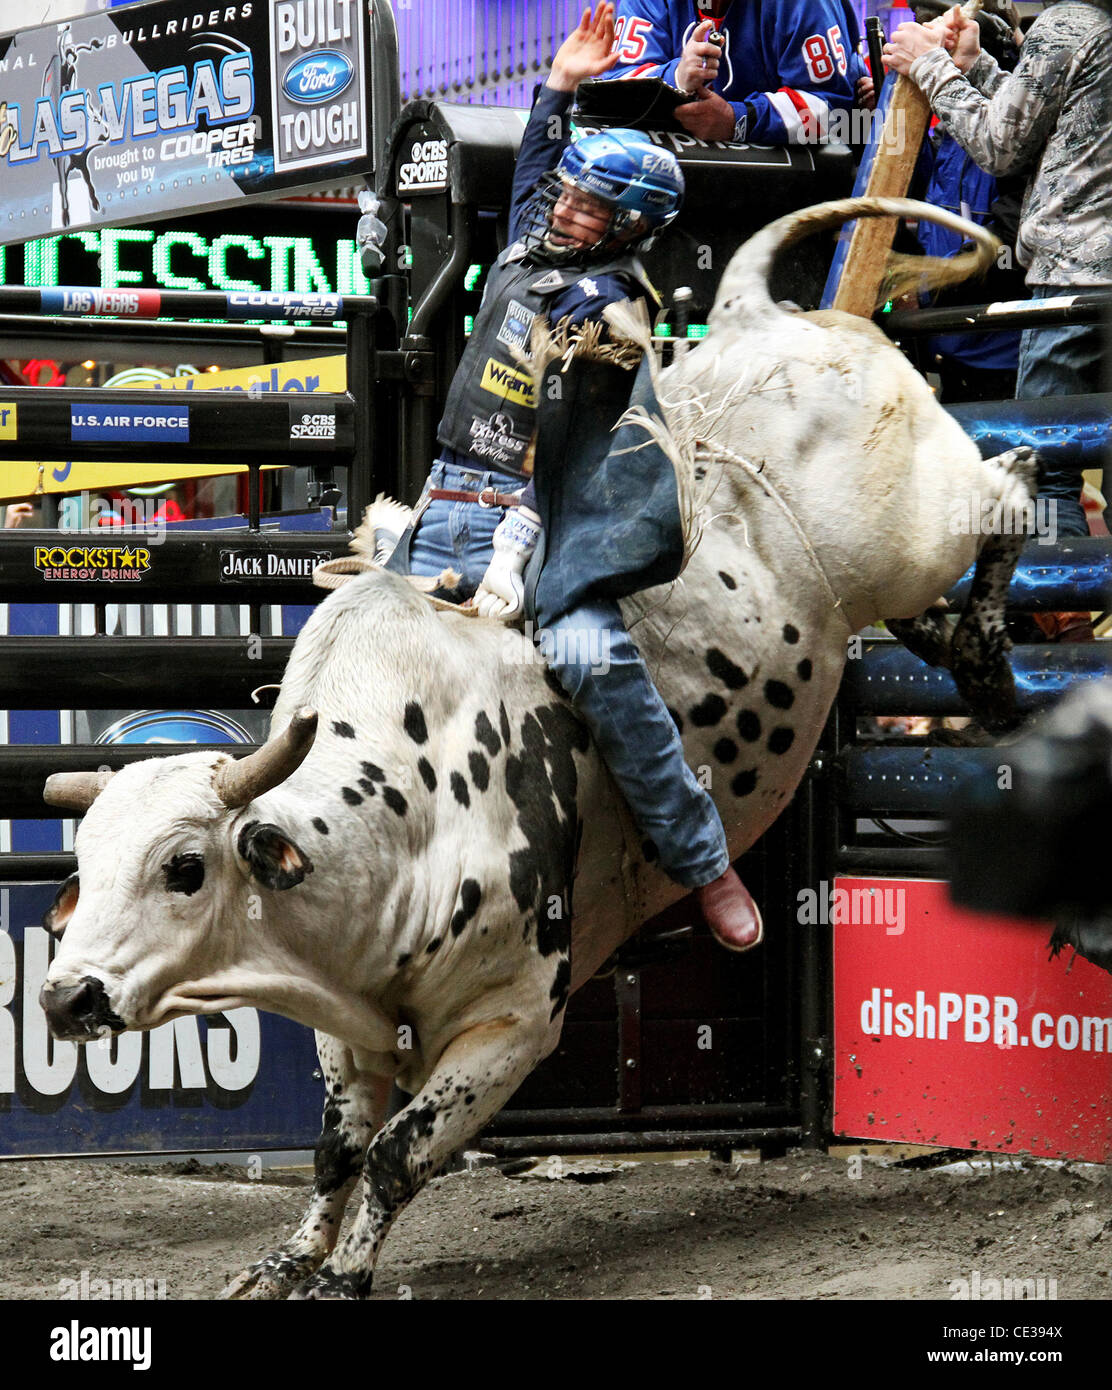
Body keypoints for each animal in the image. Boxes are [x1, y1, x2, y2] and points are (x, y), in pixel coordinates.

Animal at [38, 198, 1037, 1299]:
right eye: (83, 864)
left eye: (183, 866)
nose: (65, 994)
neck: (404, 804)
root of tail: (754, 316)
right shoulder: (346, 1022)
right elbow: (338, 1147)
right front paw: (288, 1260)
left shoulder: (513, 1018)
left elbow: (398, 1150)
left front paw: (344, 1274)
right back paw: (973, 658)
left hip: (918, 531)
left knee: (1006, 488)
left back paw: (992, 648)